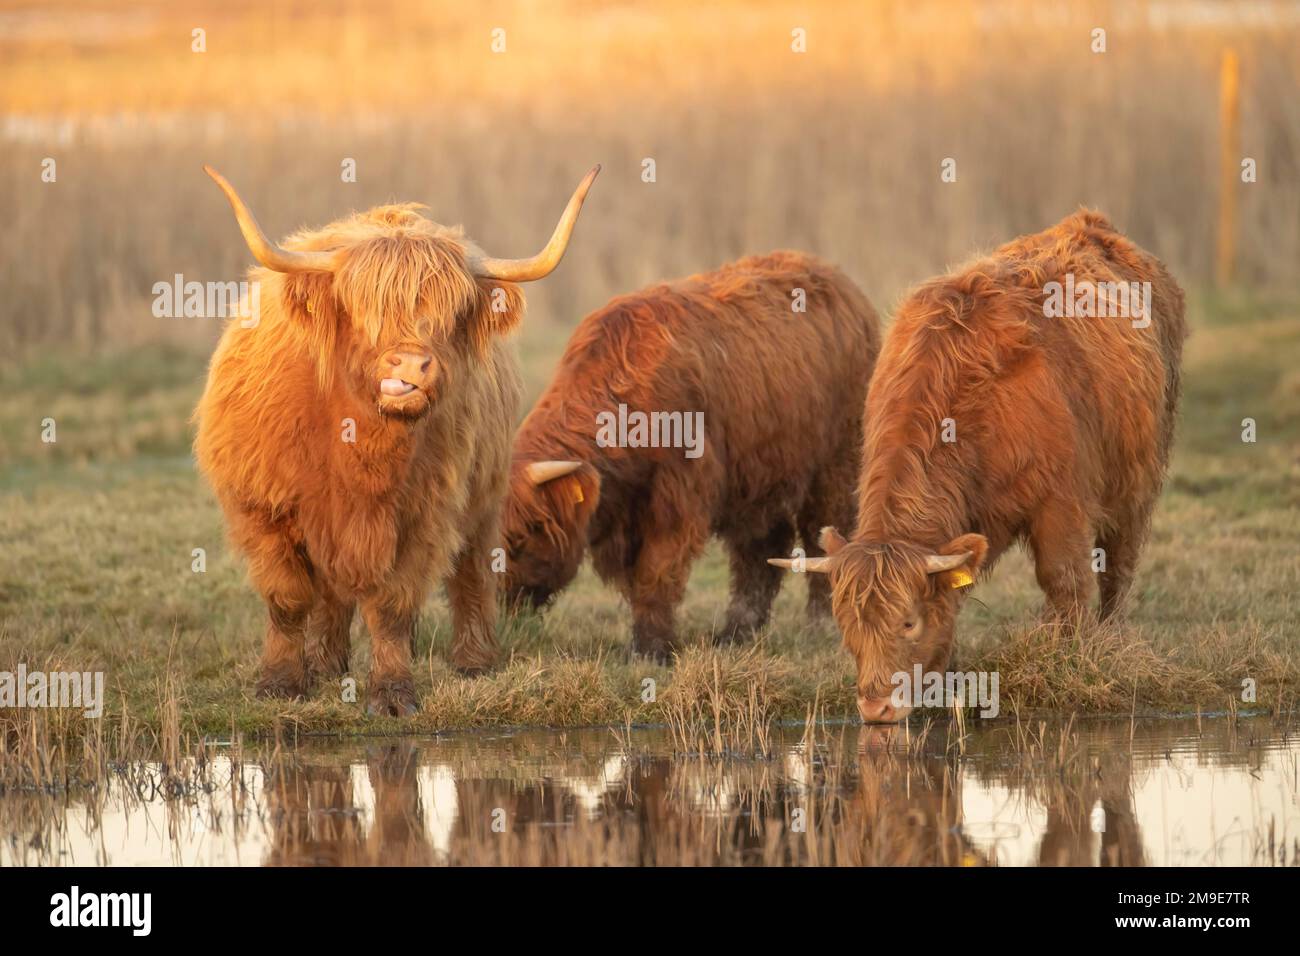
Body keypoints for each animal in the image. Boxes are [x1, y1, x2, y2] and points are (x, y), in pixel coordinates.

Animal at [193, 164, 598, 715]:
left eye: (451, 312)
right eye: (365, 308)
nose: (410, 364)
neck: (359, 447)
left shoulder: (422, 515)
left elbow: (392, 605)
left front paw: (392, 692)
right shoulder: (265, 508)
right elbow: (288, 596)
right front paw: (280, 683)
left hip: (485, 493)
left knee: (472, 570)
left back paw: (475, 661)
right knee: (331, 594)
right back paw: (325, 664)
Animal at [502, 251, 881, 659]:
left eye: (521, 539)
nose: (503, 613)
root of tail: (840, 281)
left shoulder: (679, 495)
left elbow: (656, 570)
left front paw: (651, 647)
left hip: (836, 461)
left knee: (821, 531)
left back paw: (819, 628)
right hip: (763, 472)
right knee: (760, 549)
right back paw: (737, 632)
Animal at [770, 210, 1186, 723]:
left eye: (908, 622)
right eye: (847, 625)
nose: (875, 707)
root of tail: (1089, 224)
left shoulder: (1062, 501)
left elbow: (1064, 579)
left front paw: (1068, 657)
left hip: (1136, 483)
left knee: (1119, 566)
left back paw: (1111, 635)